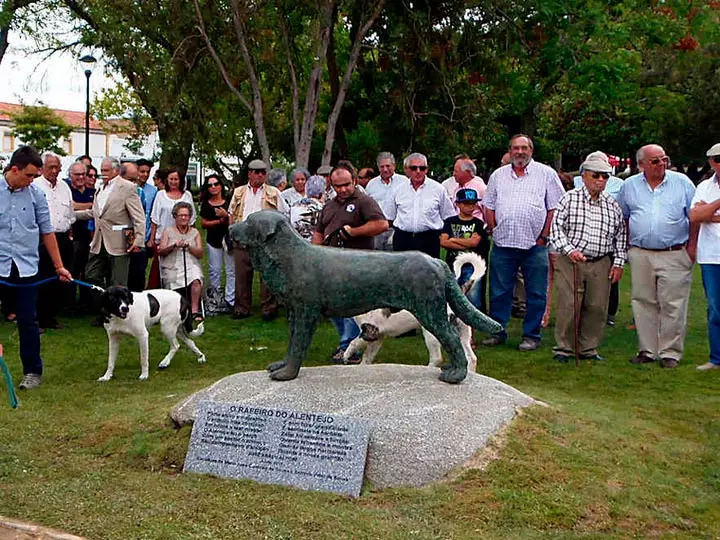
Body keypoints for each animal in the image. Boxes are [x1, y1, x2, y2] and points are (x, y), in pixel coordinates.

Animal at [342, 252, 484, 372]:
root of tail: (460, 289)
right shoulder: (378, 337)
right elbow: (367, 358)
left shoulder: (370, 331)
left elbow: (354, 342)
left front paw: (346, 356)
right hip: (463, 331)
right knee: (471, 357)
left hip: (432, 331)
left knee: (437, 357)